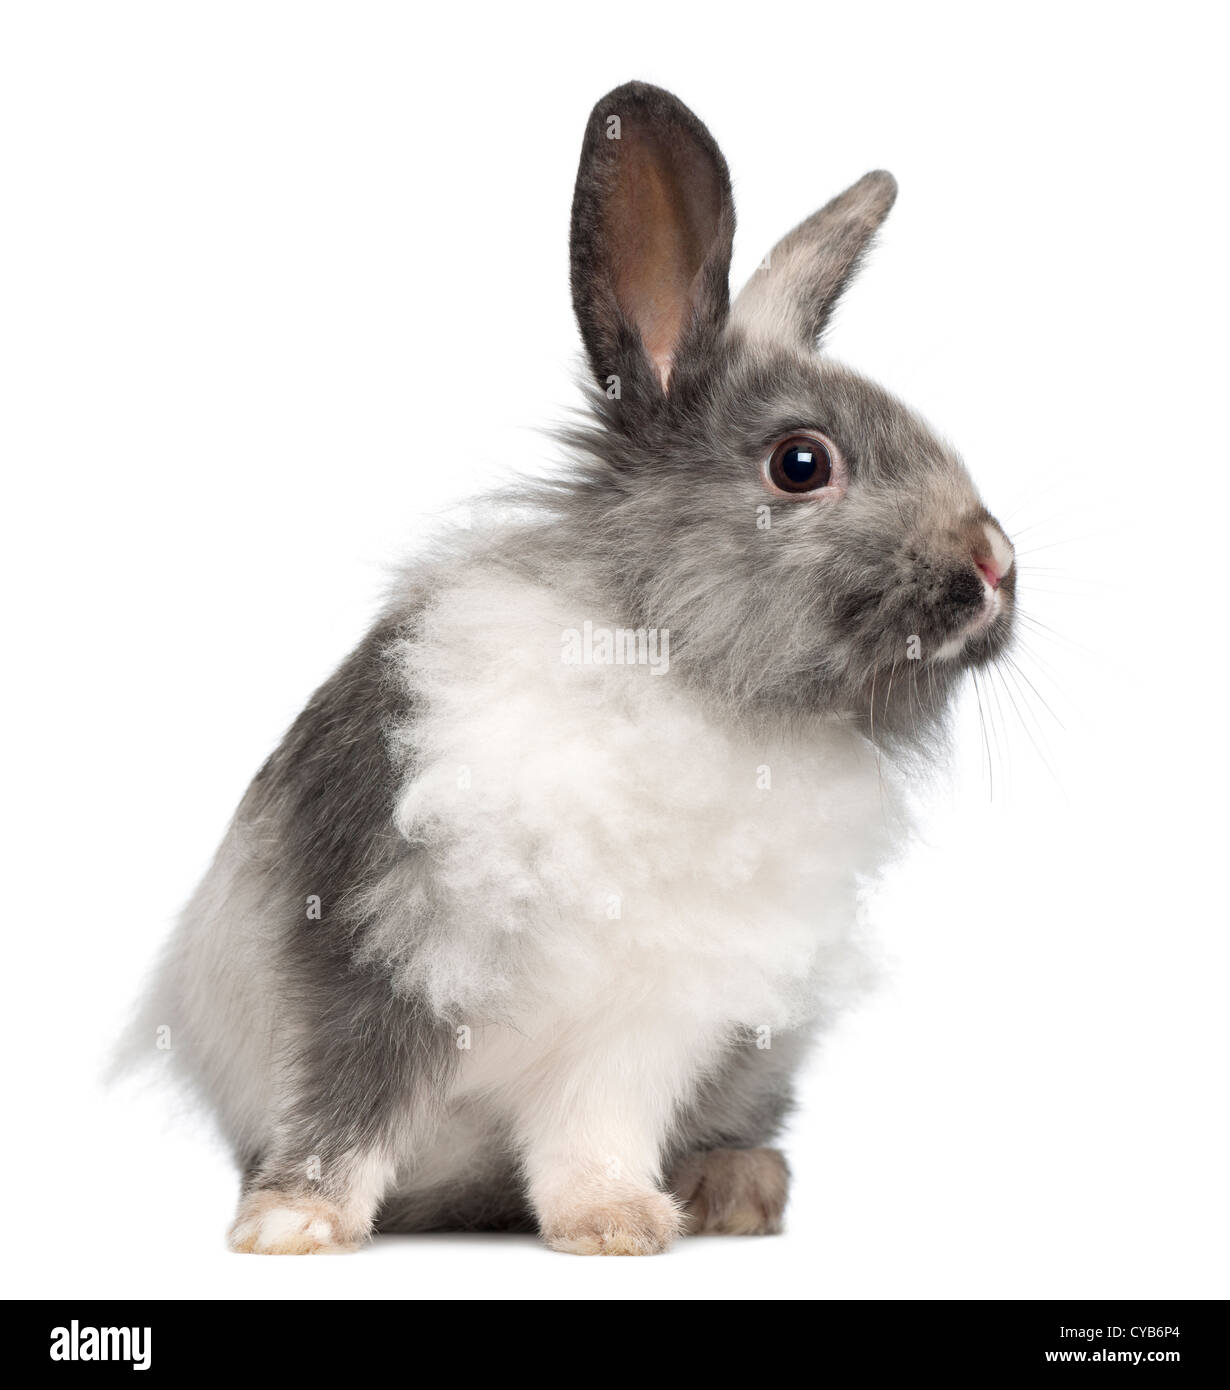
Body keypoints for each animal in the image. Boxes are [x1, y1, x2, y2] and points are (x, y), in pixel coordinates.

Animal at [136, 81, 1016, 1257]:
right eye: (801, 463)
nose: (995, 565)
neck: (680, 675)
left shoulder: (649, 1018)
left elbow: (593, 1127)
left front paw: (614, 1221)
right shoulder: (380, 944)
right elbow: (348, 1093)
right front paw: (293, 1223)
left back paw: (735, 1186)